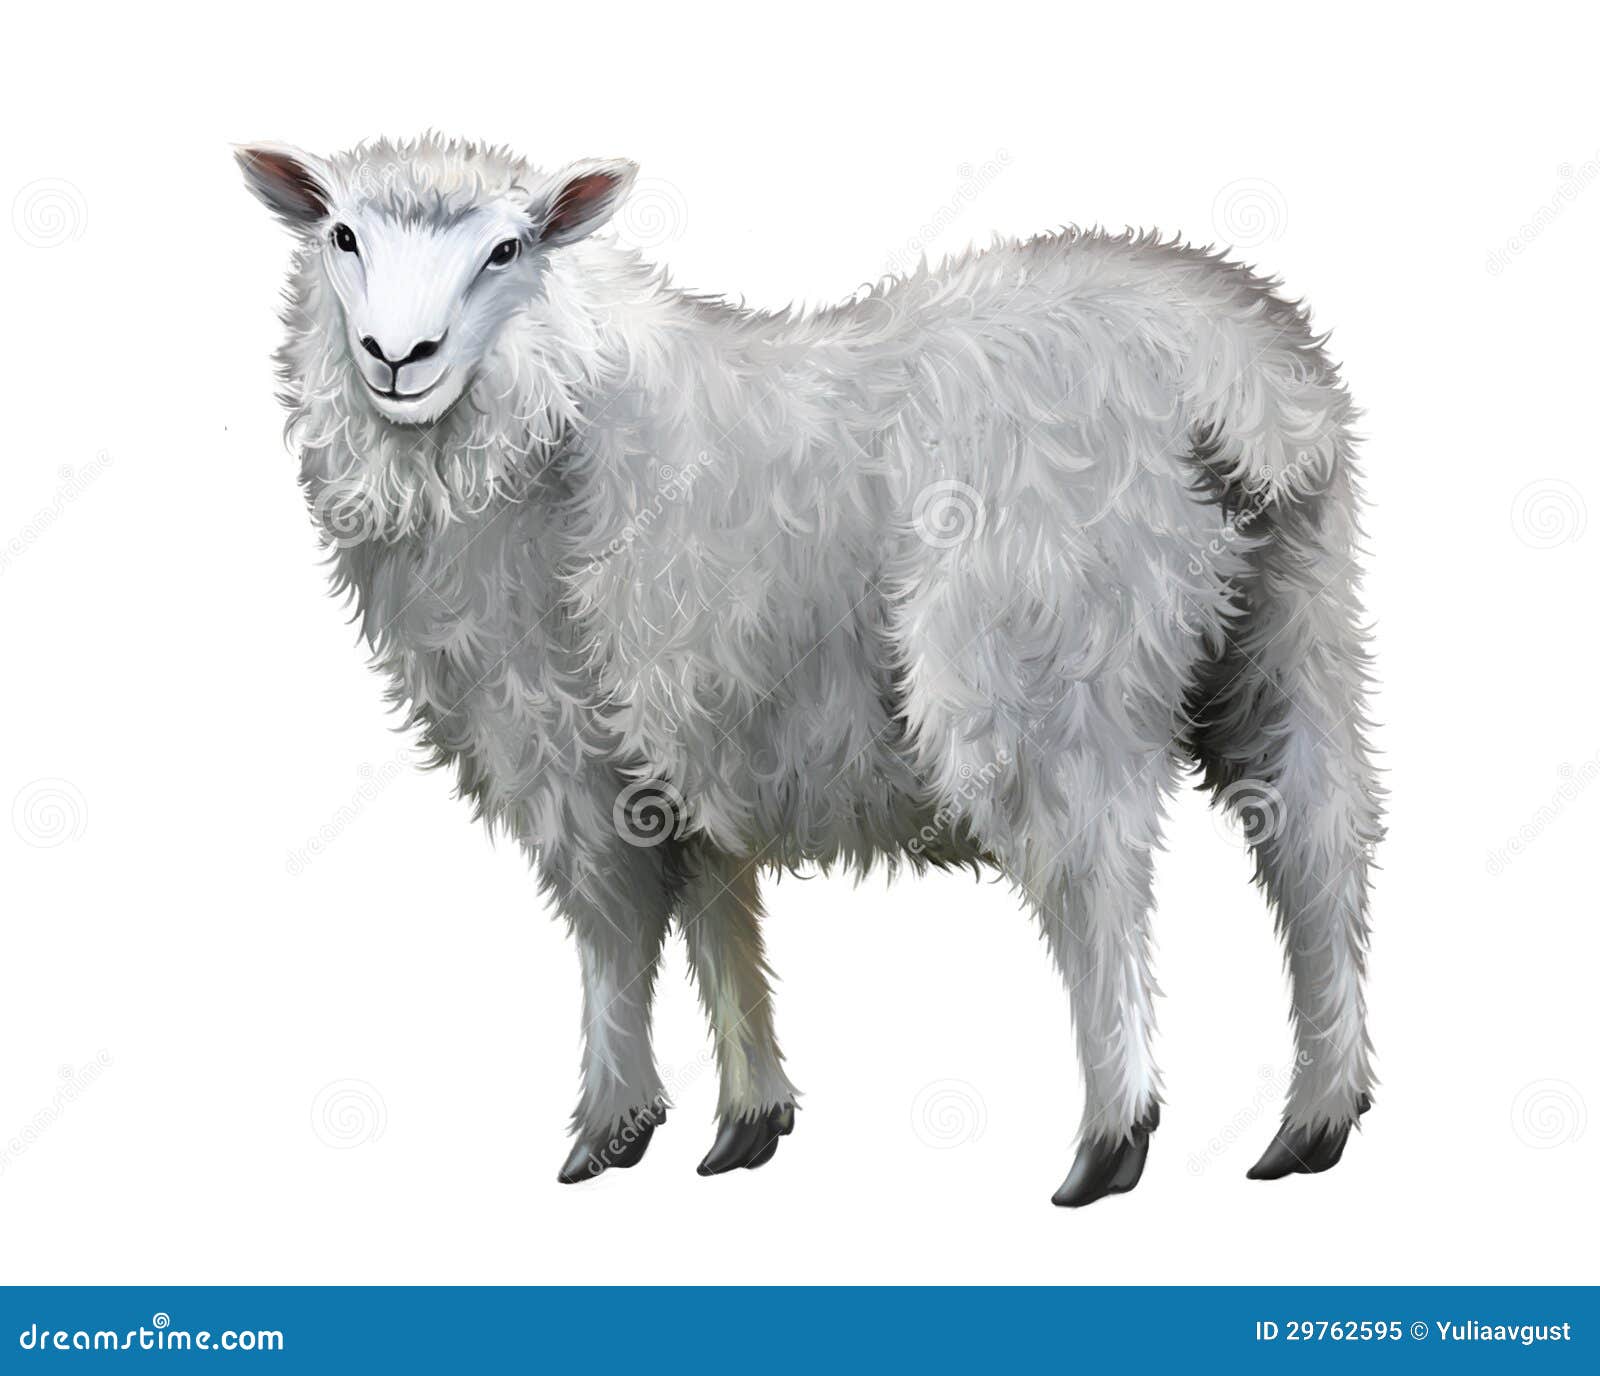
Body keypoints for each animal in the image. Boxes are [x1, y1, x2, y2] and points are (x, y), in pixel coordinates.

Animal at [238, 135, 1382, 1206]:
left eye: (507, 249)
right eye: (342, 235)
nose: (398, 355)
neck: (553, 410)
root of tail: (1234, 381)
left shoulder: (566, 738)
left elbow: (612, 924)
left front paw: (609, 1123)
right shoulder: (686, 741)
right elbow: (716, 907)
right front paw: (747, 1115)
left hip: (1043, 661)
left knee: (1096, 875)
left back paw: (1113, 1134)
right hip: (1291, 627)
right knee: (1317, 842)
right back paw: (1318, 1116)